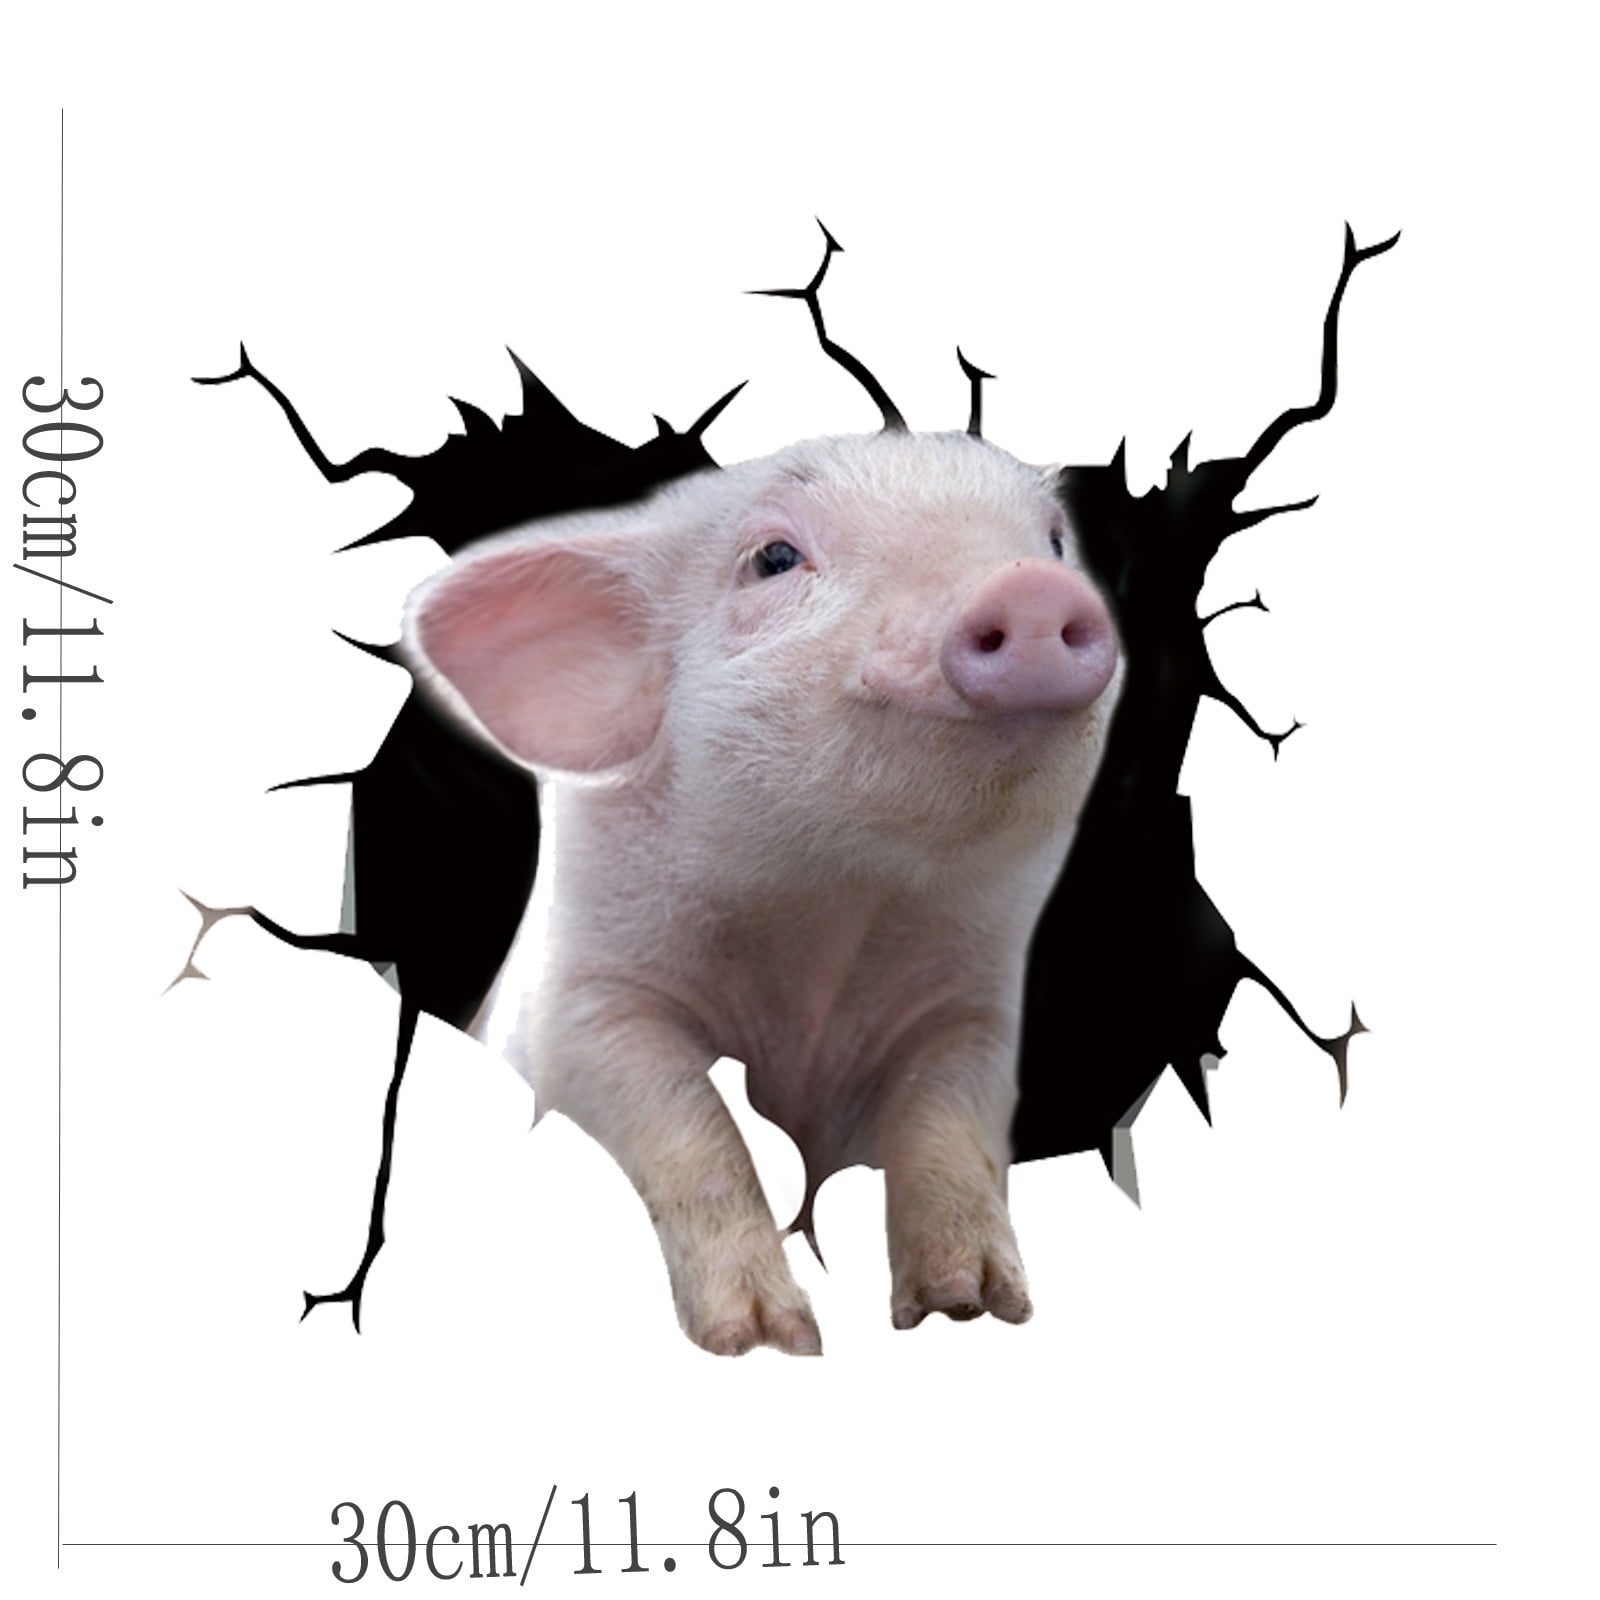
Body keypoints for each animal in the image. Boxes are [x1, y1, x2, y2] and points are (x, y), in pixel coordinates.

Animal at [402, 427, 1122, 1355]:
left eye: (1055, 543)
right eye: (773, 558)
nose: (1030, 583)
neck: (829, 923)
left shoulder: (972, 1014)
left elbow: (950, 1129)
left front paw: (972, 1304)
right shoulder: (578, 1008)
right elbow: (693, 1124)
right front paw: (769, 1338)